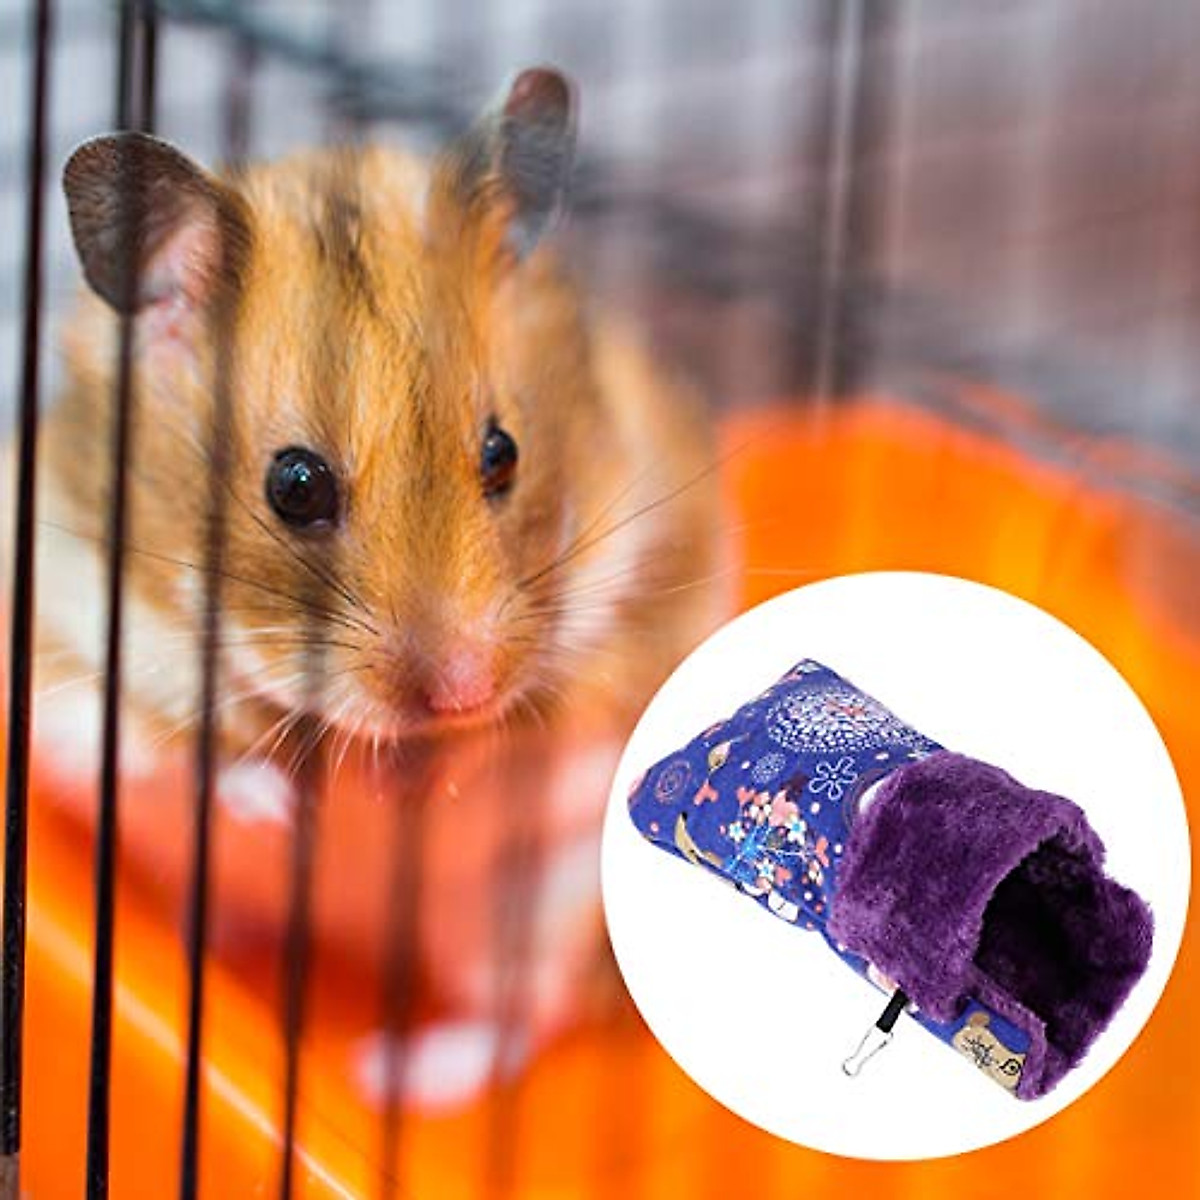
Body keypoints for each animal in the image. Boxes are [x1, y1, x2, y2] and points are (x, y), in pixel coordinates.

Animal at [12, 69, 729, 1103]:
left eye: (504, 453)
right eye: (295, 485)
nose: (465, 693)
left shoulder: (631, 616)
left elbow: (536, 736)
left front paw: (416, 784)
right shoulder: (69, 644)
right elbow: (185, 748)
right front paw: (292, 809)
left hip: (525, 920)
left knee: (518, 1022)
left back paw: (389, 1074)